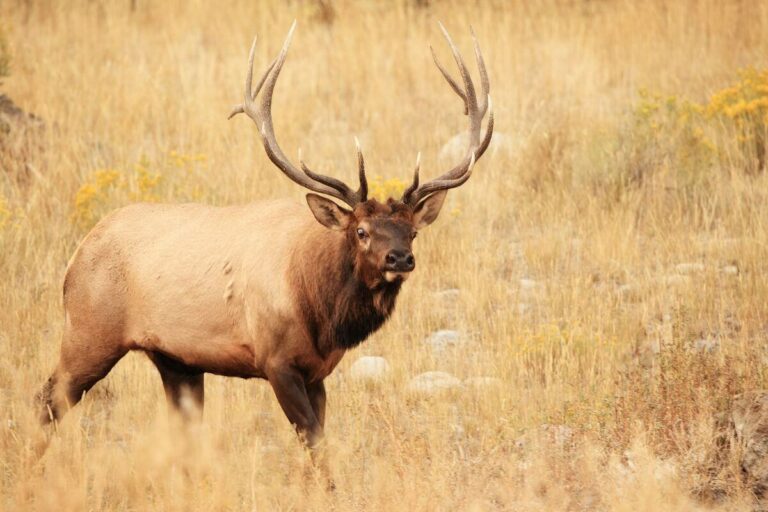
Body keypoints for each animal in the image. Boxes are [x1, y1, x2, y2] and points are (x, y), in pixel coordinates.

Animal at [37, 22, 493, 451]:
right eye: (361, 231)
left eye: (412, 232)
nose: (399, 258)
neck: (319, 311)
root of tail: (75, 258)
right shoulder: (276, 360)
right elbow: (312, 439)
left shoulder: (317, 370)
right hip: (89, 331)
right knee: (49, 397)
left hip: (176, 359)